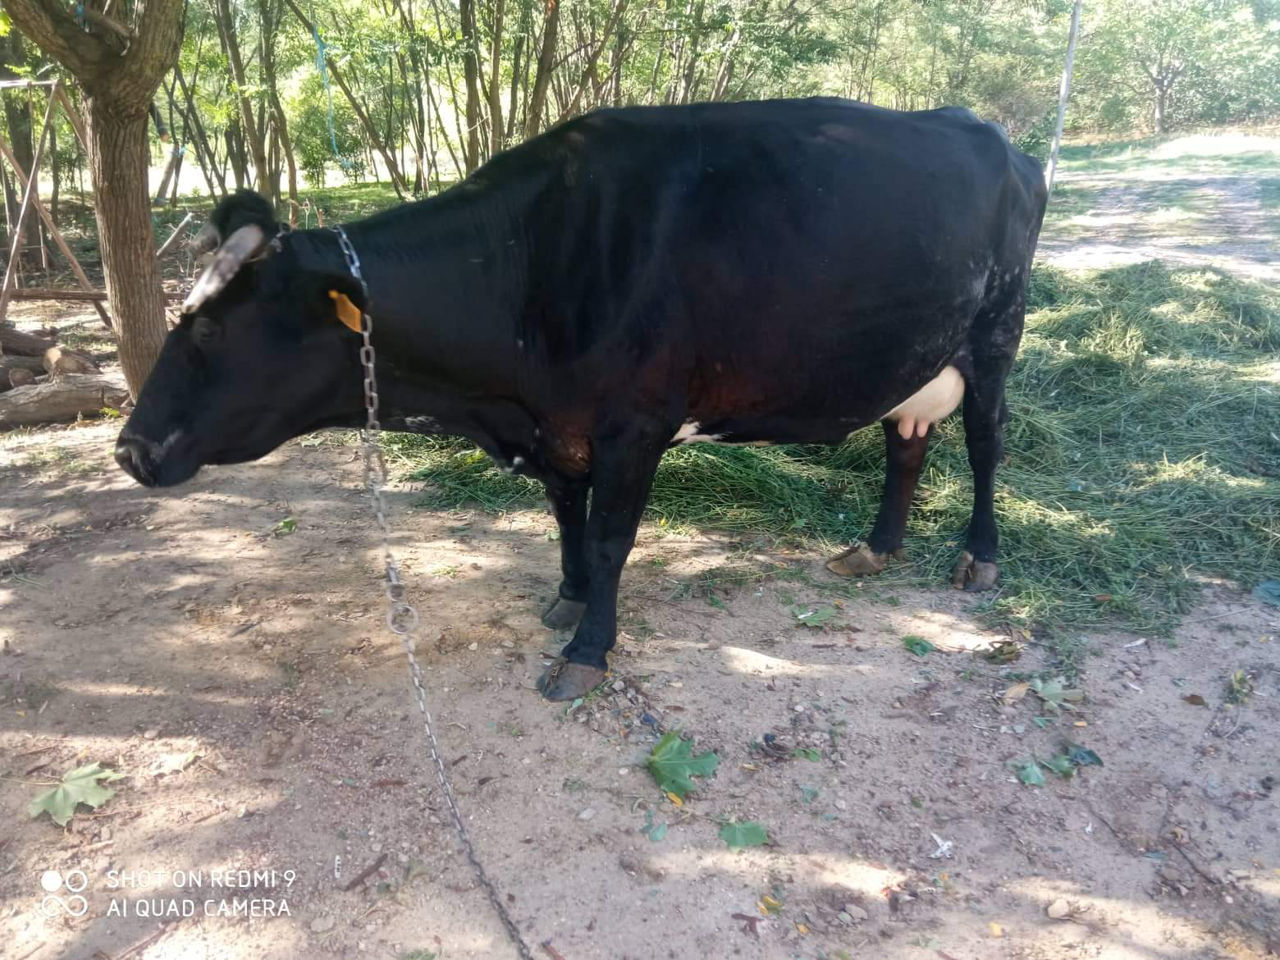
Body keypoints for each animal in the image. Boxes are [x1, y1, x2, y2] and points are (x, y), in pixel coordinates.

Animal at [115, 97, 1048, 701]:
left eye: (209, 330)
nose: (130, 449)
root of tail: (992, 133)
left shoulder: (635, 423)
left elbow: (608, 540)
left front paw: (588, 648)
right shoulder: (555, 426)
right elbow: (565, 515)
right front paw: (564, 596)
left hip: (997, 330)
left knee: (984, 441)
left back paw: (980, 556)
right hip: (911, 352)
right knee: (906, 439)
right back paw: (876, 548)